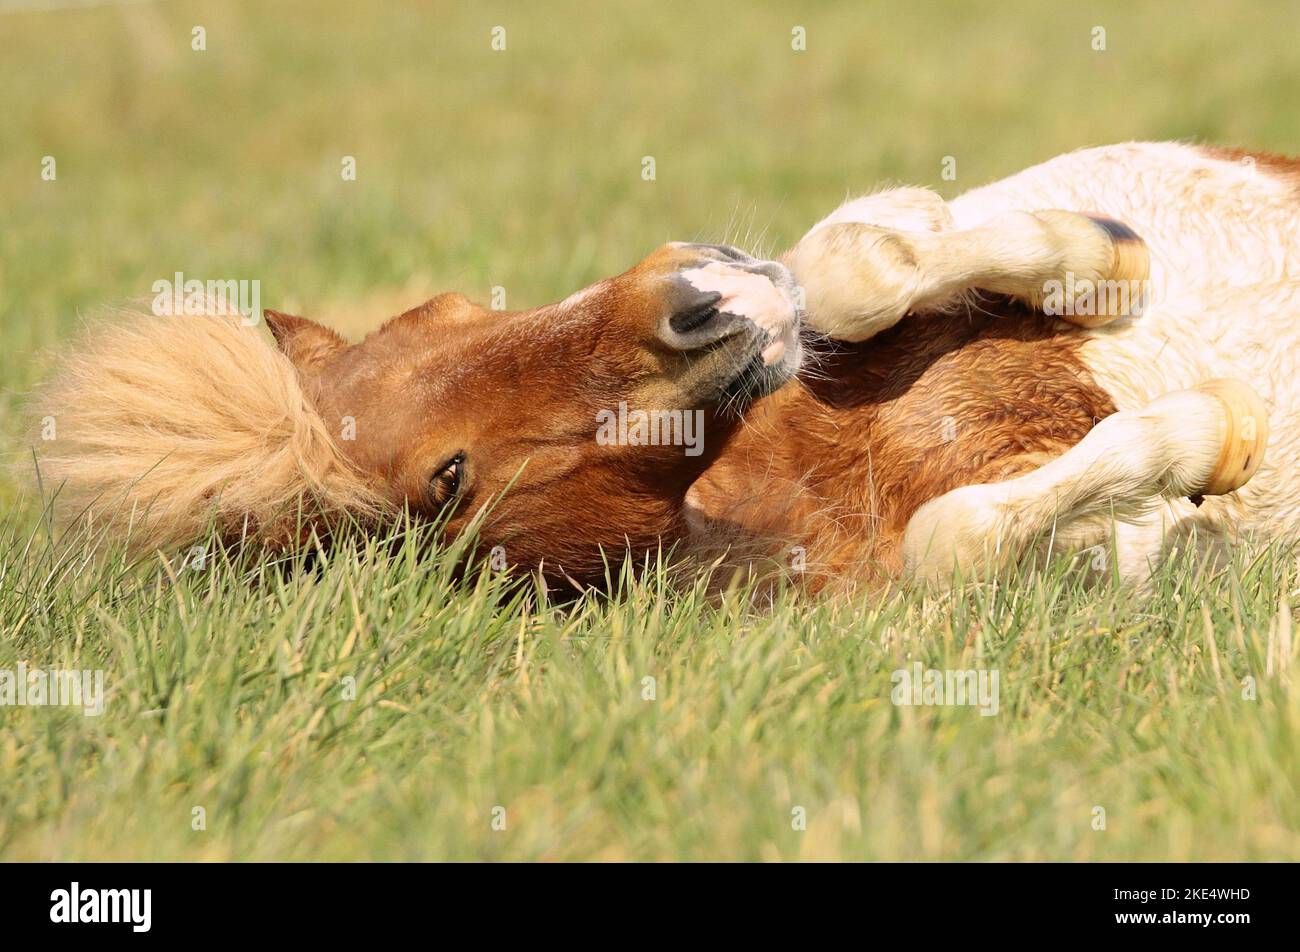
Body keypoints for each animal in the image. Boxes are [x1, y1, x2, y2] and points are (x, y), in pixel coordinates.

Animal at [35, 142, 1299, 591]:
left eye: (446, 311)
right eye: (447, 480)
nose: (689, 299)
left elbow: (850, 263)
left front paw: (1104, 247)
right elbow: (963, 538)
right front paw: (1218, 436)